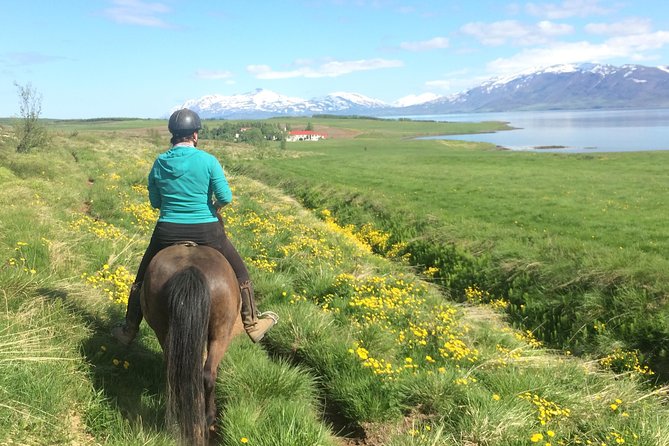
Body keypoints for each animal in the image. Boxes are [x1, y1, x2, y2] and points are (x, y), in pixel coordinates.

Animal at [140, 243, 242, 446]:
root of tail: (189, 269)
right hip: (221, 333)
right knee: (208, 374)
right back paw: (207, 417)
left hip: (163, 330)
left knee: (176, 374)